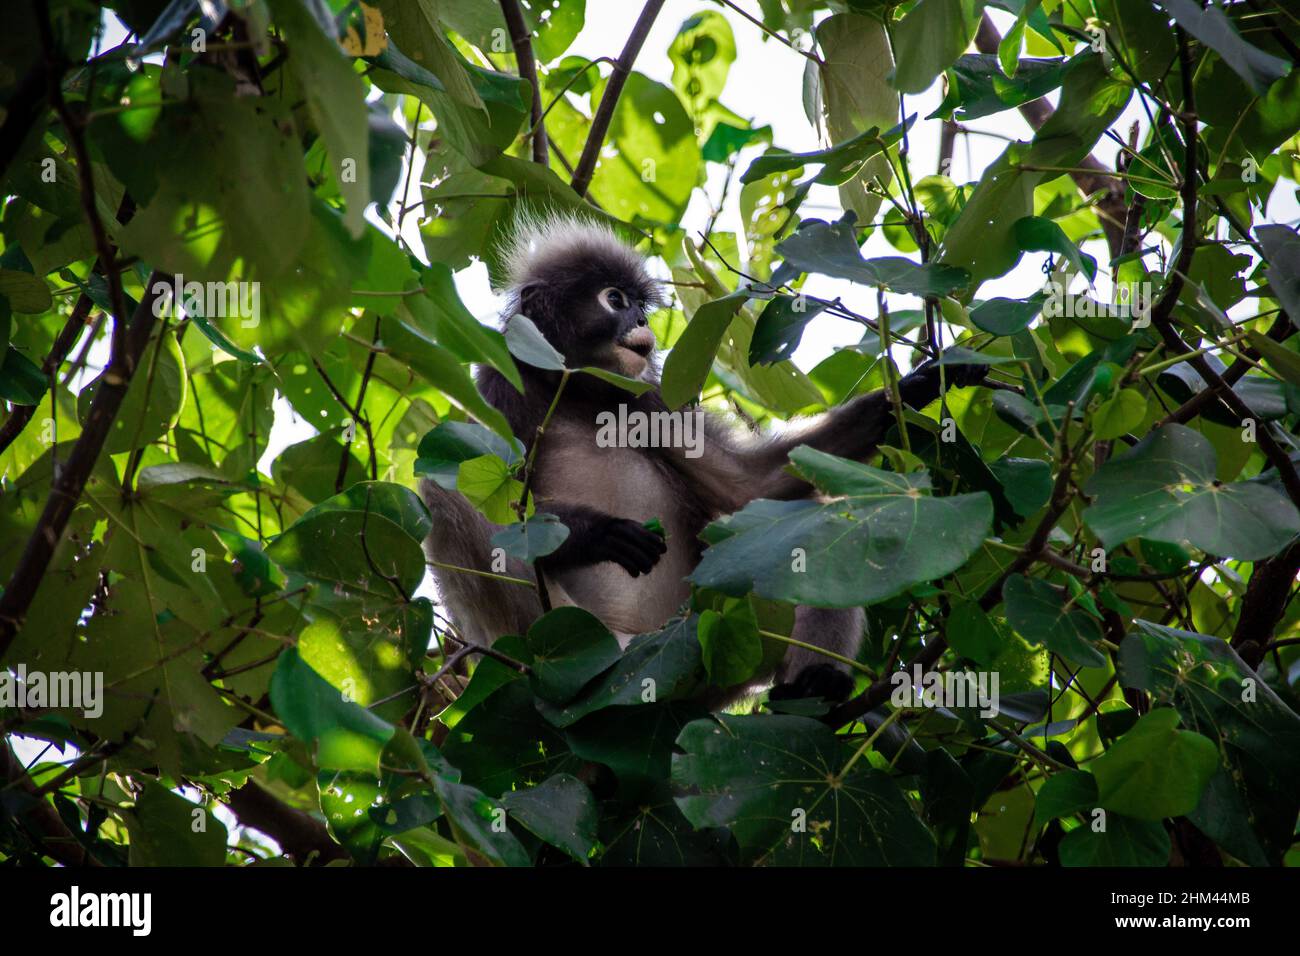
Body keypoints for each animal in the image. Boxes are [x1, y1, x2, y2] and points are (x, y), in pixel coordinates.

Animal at [420, 213, 986, 704]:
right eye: (614, 299)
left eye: (637, 304)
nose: (639, 319)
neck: (574, 393)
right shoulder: (498, 390)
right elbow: (490, 502)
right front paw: (600, 532)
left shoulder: (648, 400)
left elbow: (747, 485)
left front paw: (919, 386)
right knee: (441, 497)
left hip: (716, 639)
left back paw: (813, 685)